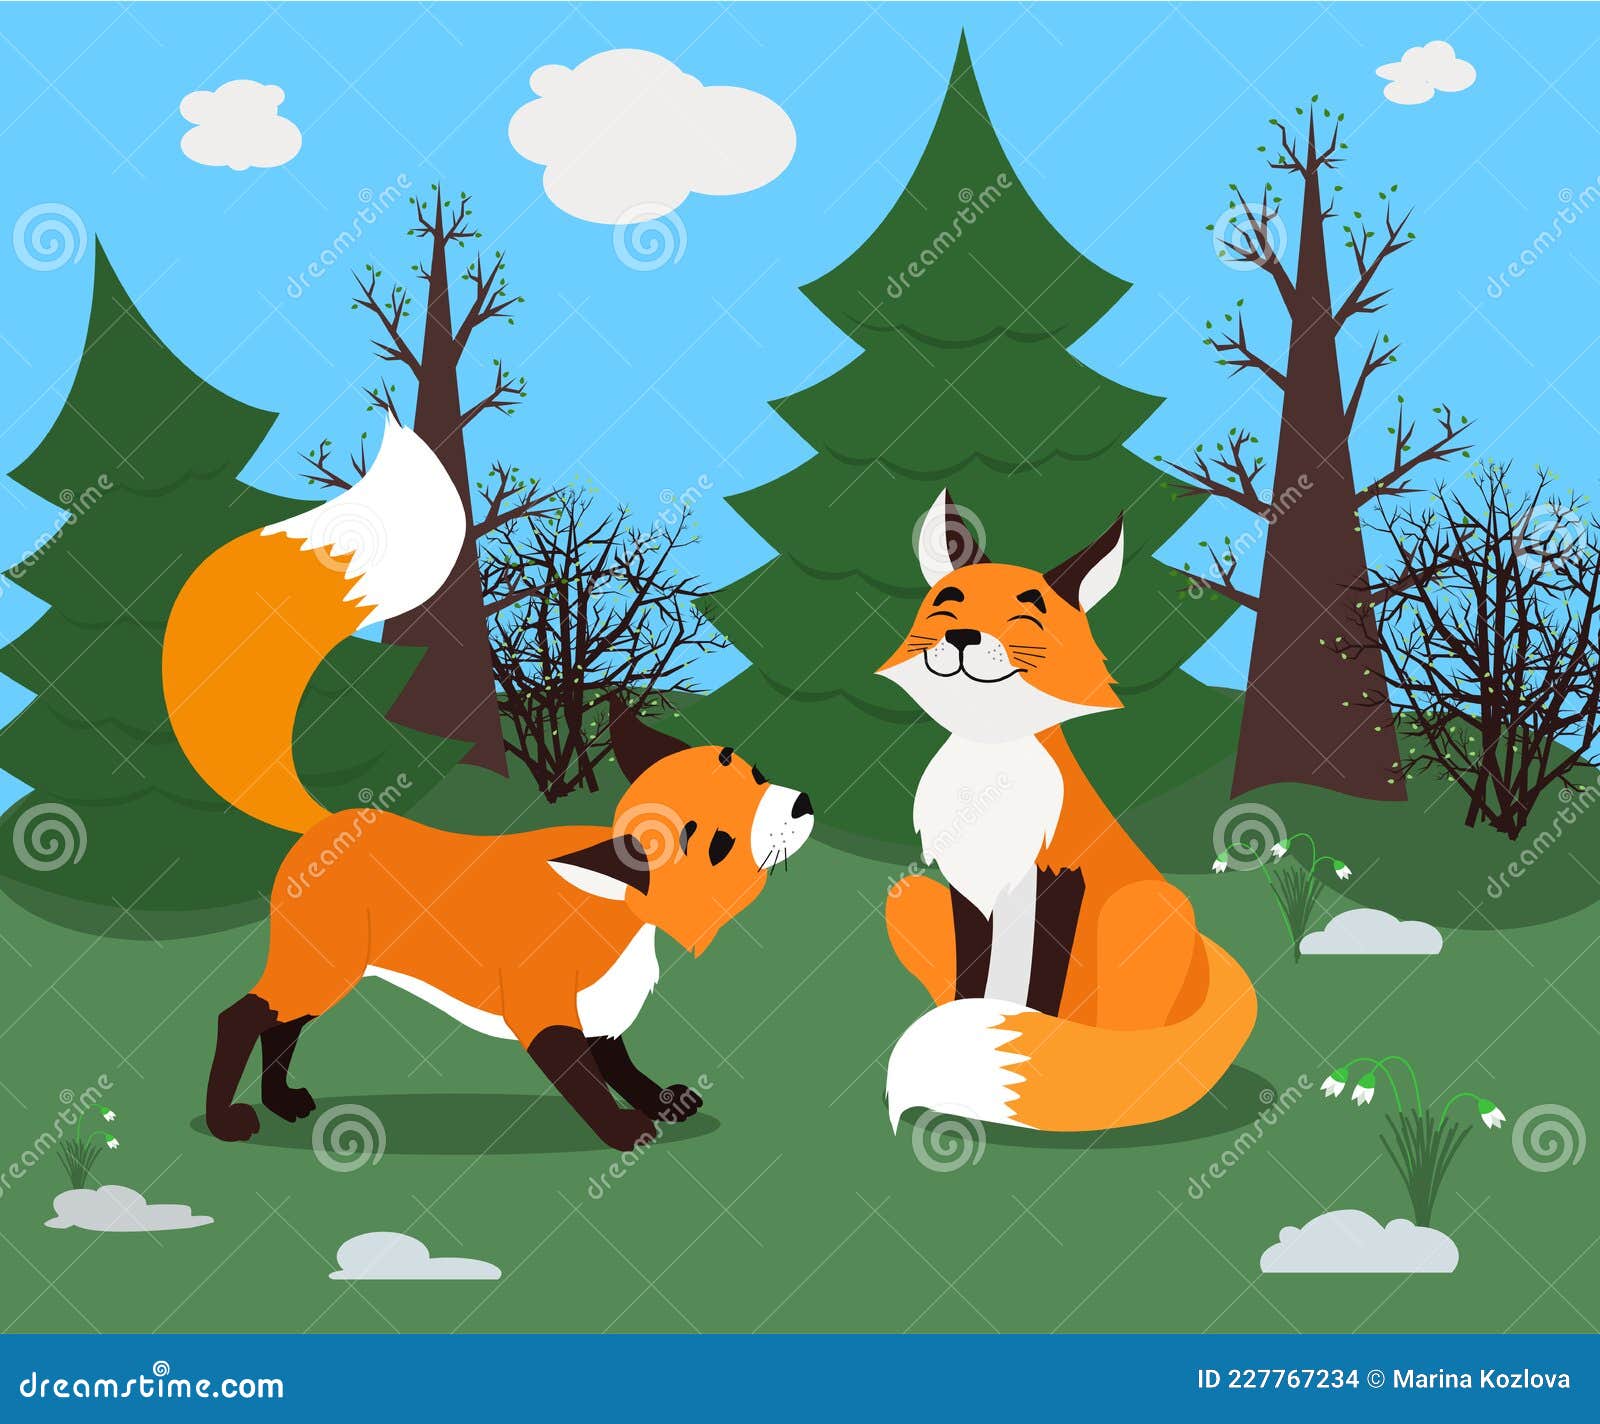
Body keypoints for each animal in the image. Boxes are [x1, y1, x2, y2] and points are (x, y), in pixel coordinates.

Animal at [162, 416, 814, 1152]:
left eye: (755, 772)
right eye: (719, 841)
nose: (802, 803)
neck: (619, 910)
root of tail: (325, 824)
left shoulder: (601, 1012)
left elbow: (624, 1066)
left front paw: (661, 1102)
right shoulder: (544, 1013)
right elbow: (585, 1082)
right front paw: (623, 1131)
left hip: (328, 975)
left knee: (282, 1027)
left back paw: (284, 1104)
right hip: (320, 970)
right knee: (243, 1017)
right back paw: (229, 1118)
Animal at [876, 491, 1256, 1134]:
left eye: (1027, 615)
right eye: (948, 604)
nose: (963, 636)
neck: (991, 775)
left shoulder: (1059, 874)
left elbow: (1040, 990)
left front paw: (1028, 1031)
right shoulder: (967, 885)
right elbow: (970, 980)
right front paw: (976, 1015)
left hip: (1142, 908)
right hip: (905, 897)